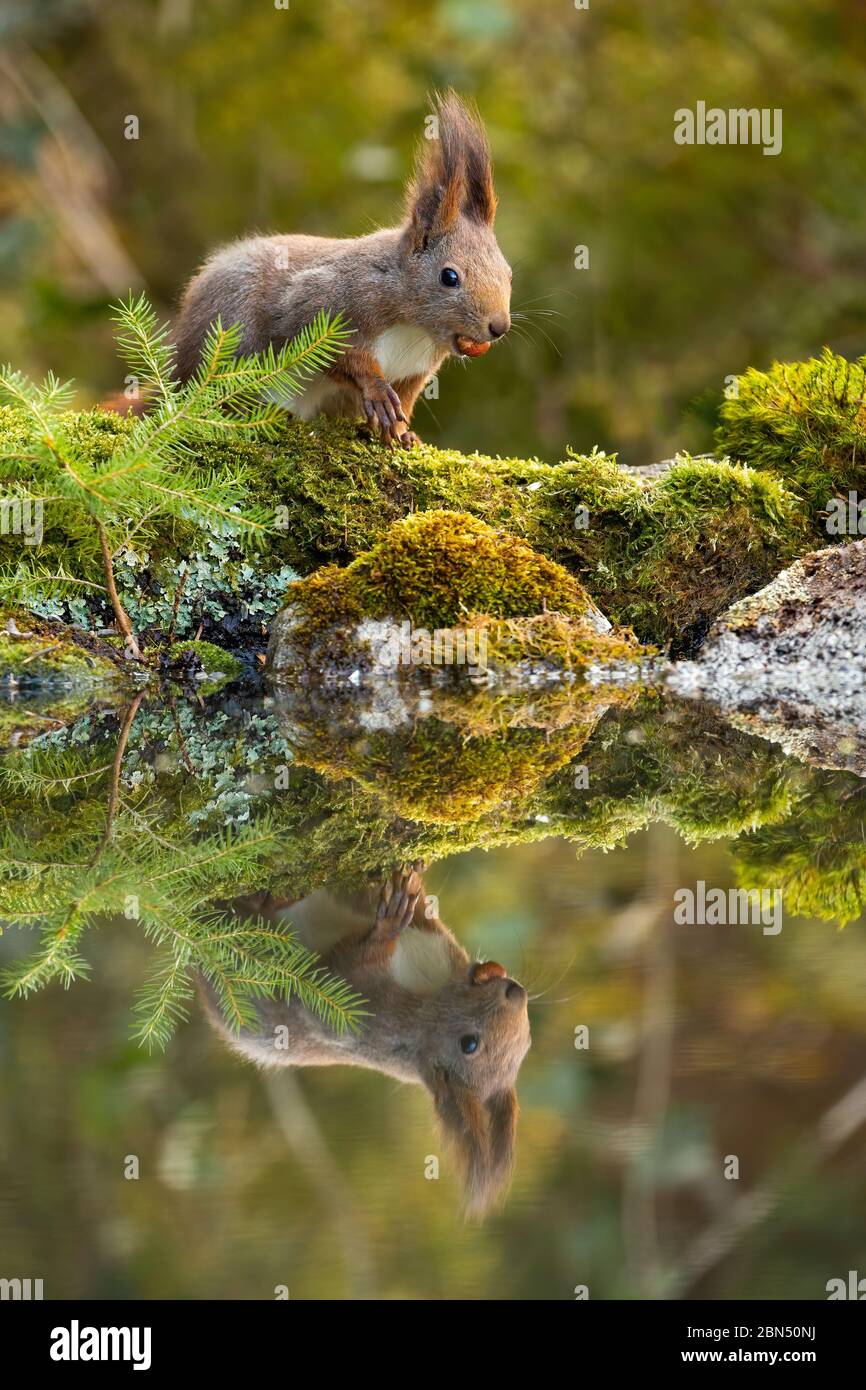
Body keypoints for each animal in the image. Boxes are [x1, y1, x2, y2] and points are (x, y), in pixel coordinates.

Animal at [169, 91, 512, 448]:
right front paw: (377, 391)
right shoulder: (323, 301)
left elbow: (405, 401)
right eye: (449, 277)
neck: (413, 327)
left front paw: (403, 434)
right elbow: (339, 353)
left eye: (508, 273)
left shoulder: (414, 372)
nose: (499, 326)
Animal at [203, 864, 531, 1219]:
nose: (516, 991)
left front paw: (391, 917)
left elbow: (344, 962)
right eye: (469, 1044)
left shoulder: (362, 1013)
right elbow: (404, 911)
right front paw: (407, 887)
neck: (433, 988)